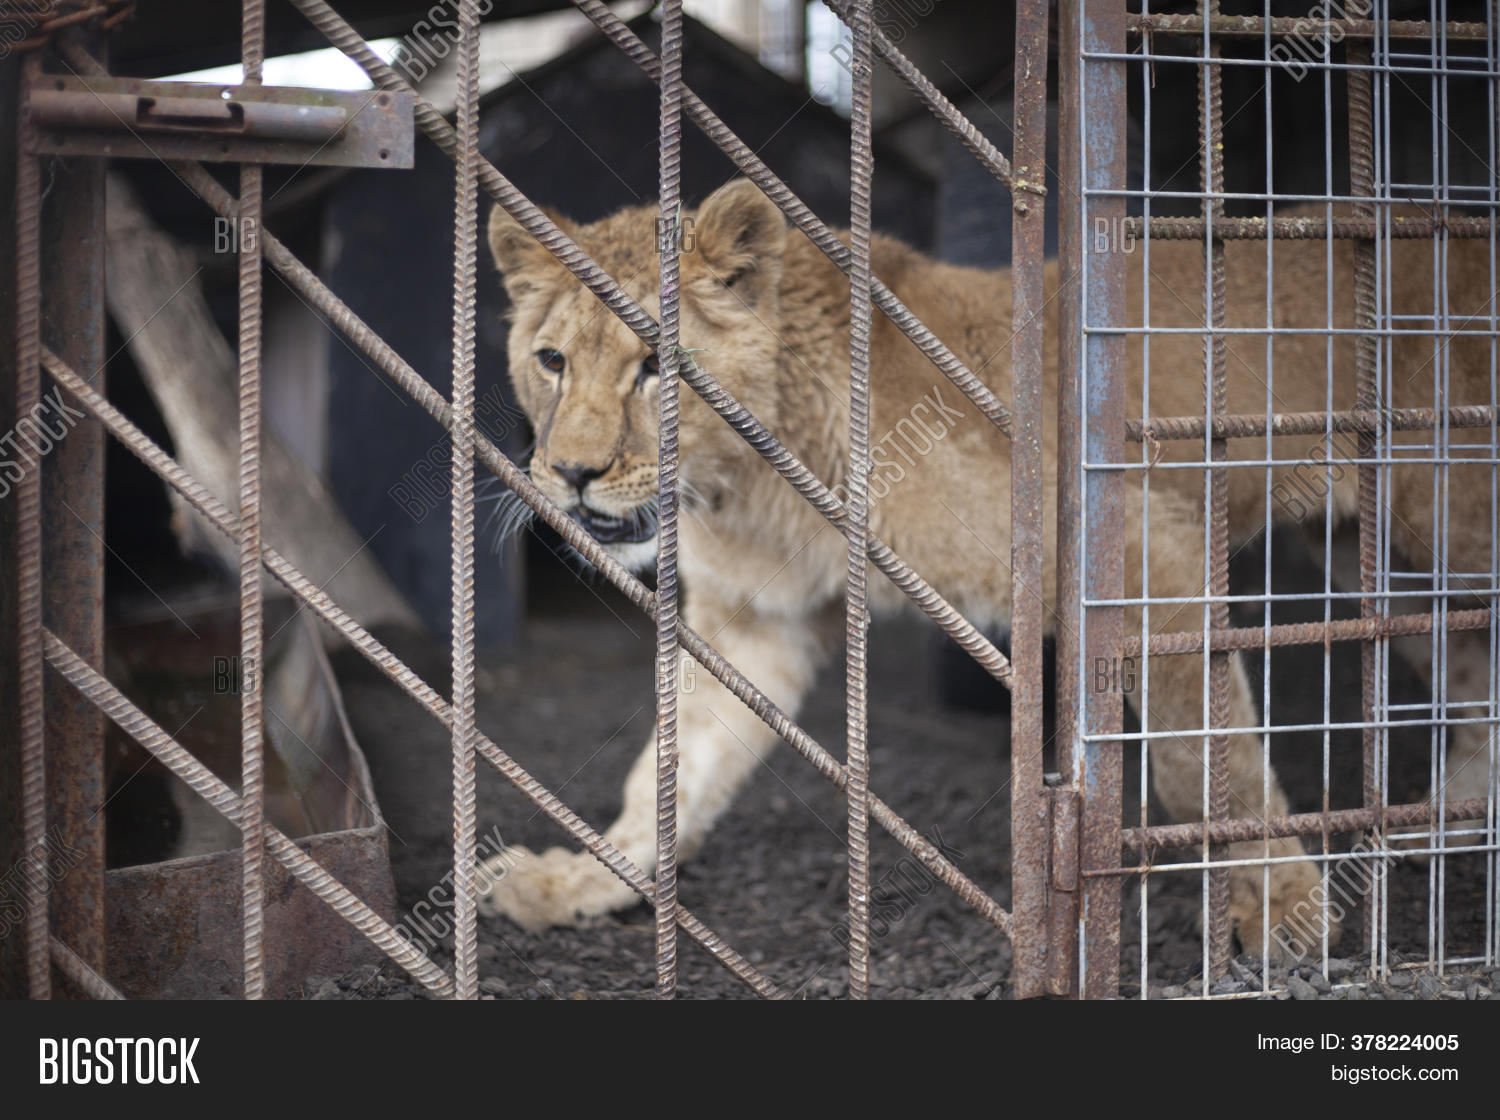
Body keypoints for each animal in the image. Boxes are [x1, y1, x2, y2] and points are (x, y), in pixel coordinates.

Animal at [477, 179, 1496, 960]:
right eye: (551, 360)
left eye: (658, 364)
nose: (570, 473)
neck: (751, 479)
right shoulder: (751, 627)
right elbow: (672, 764)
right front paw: (585, 878)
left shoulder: (1143, 551)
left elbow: (1206, 762)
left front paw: (1279, 911)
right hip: (1374, 547)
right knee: (1462, 658)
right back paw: (1450, 819)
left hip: (1445, 512)